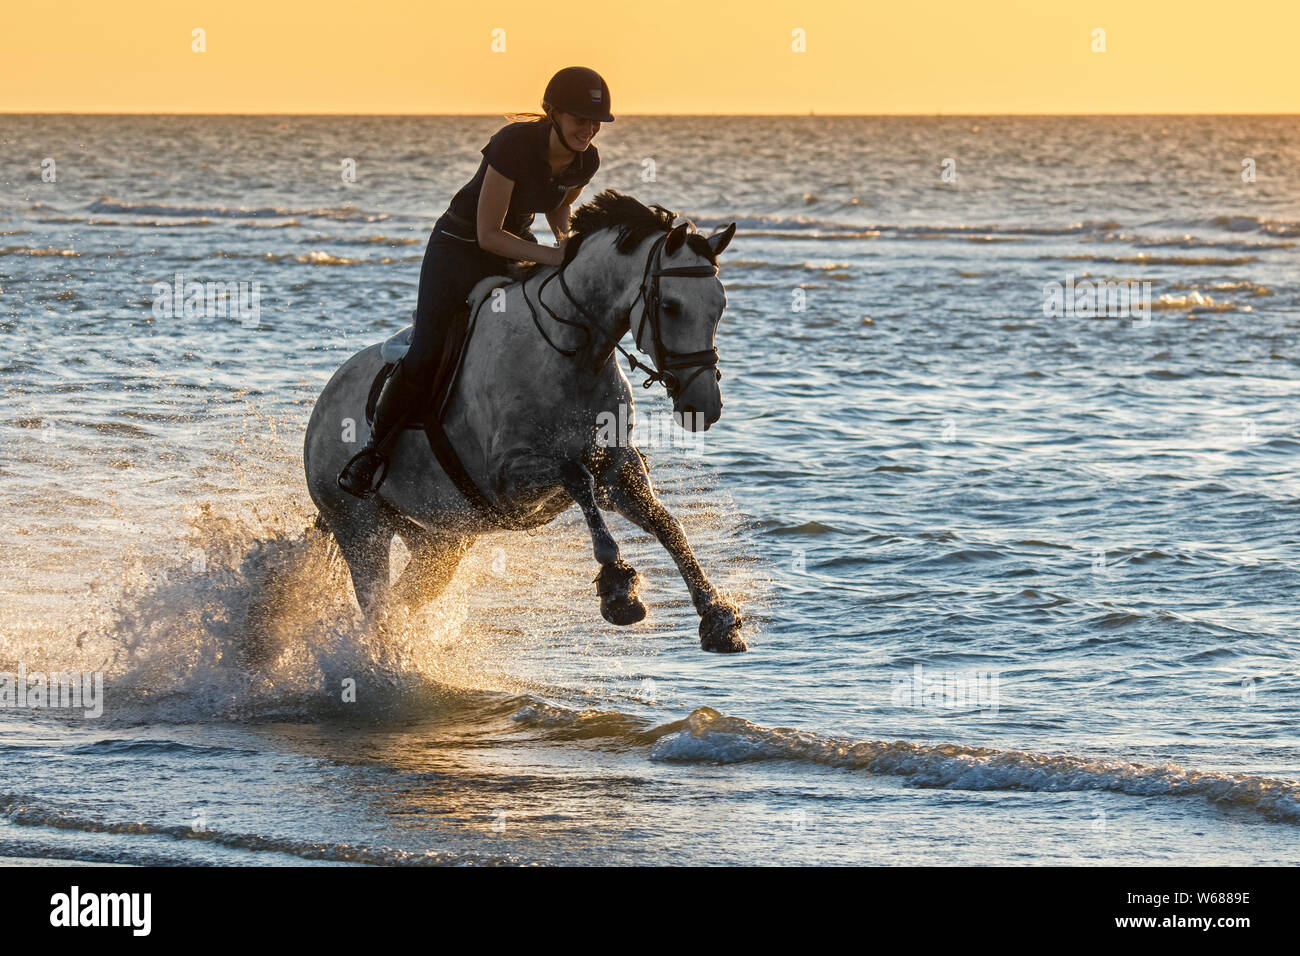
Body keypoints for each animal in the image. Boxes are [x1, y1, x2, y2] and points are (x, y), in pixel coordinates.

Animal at [303, 190, 745, 653]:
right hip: (359, 526)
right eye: (670, 306)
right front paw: (618, 589)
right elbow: (576, 478)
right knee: (376, 599)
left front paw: (717, 617)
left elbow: (666, 524)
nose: (704, 407)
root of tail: (321, 408)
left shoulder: (617, 468)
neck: (571, 353)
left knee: (404, 596)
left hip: (439, 538)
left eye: (720, 306)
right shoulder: (509, 479)